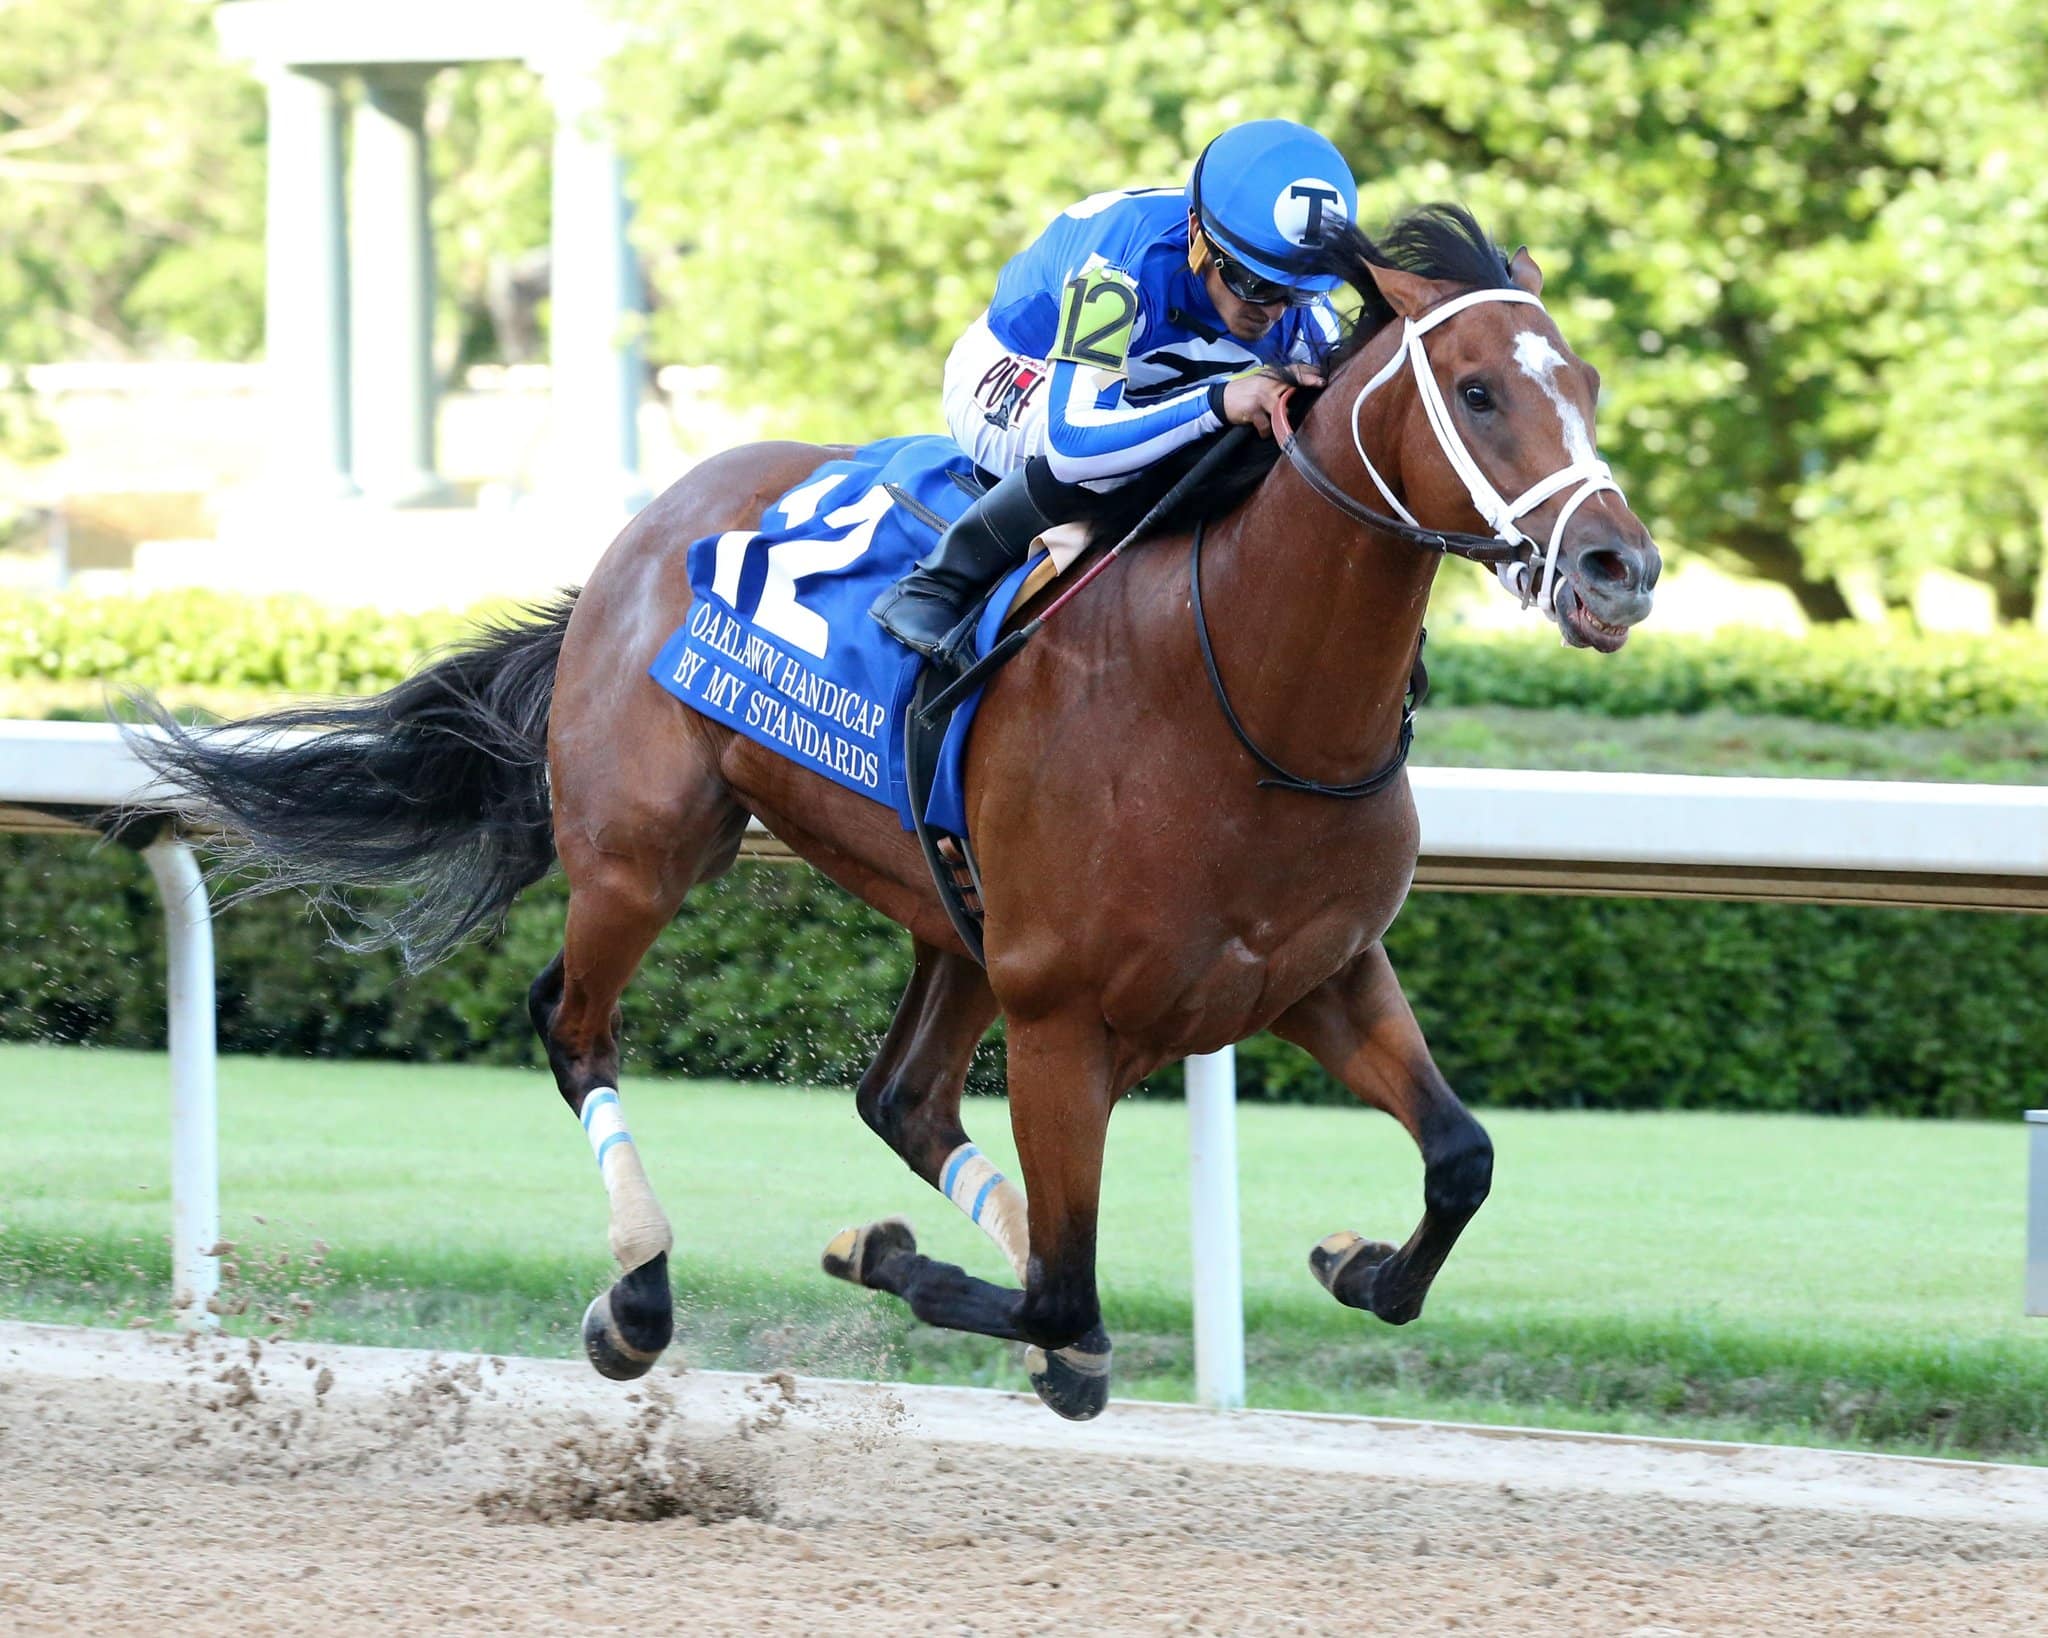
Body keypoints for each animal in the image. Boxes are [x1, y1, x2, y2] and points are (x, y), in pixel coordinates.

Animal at [134, 206, 1659, 1420]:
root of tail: (653, 517)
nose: (1617, 568)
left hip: (954, 912)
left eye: (1584, 382)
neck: (1243, 693)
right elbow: (1060, 1289)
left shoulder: (1319, 974)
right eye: (1475, 390)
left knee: (904, 1097)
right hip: (643, 849)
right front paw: (893, 1263)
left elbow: (1460, 1159)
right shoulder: (1066, 1017)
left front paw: (1356, 1262)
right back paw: (637, 1295)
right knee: (576, 1026)